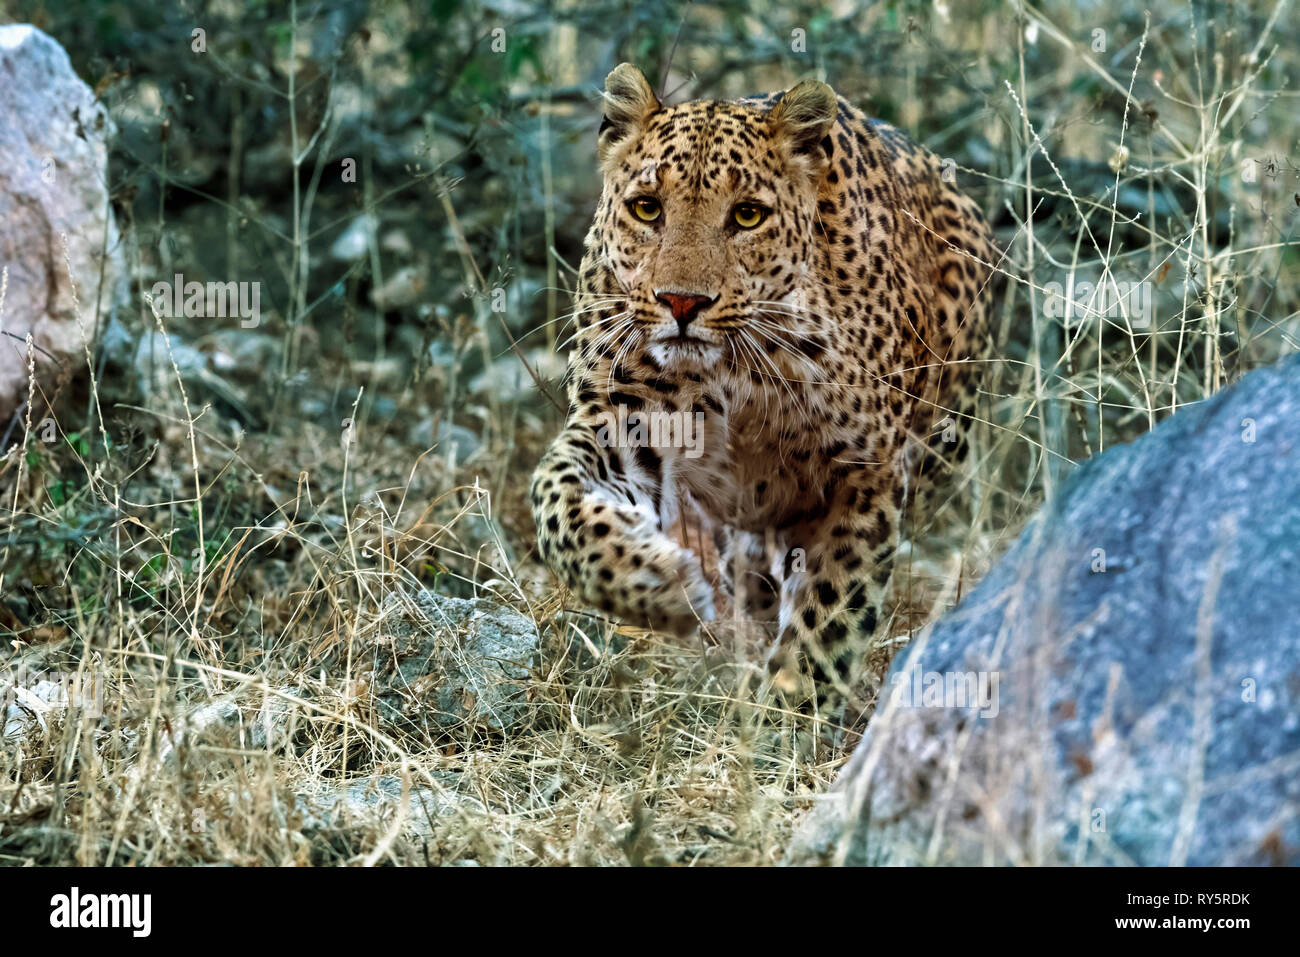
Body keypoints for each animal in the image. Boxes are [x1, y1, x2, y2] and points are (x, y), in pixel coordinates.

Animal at [530, 63, 1000, 724]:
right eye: (647, 209)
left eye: (748, 216)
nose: (682, 303)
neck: (737, 374)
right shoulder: (626, 424)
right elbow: (557, 501)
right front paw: (656, 584)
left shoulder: (866, 474)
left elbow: (832, 608)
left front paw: (791, 714)